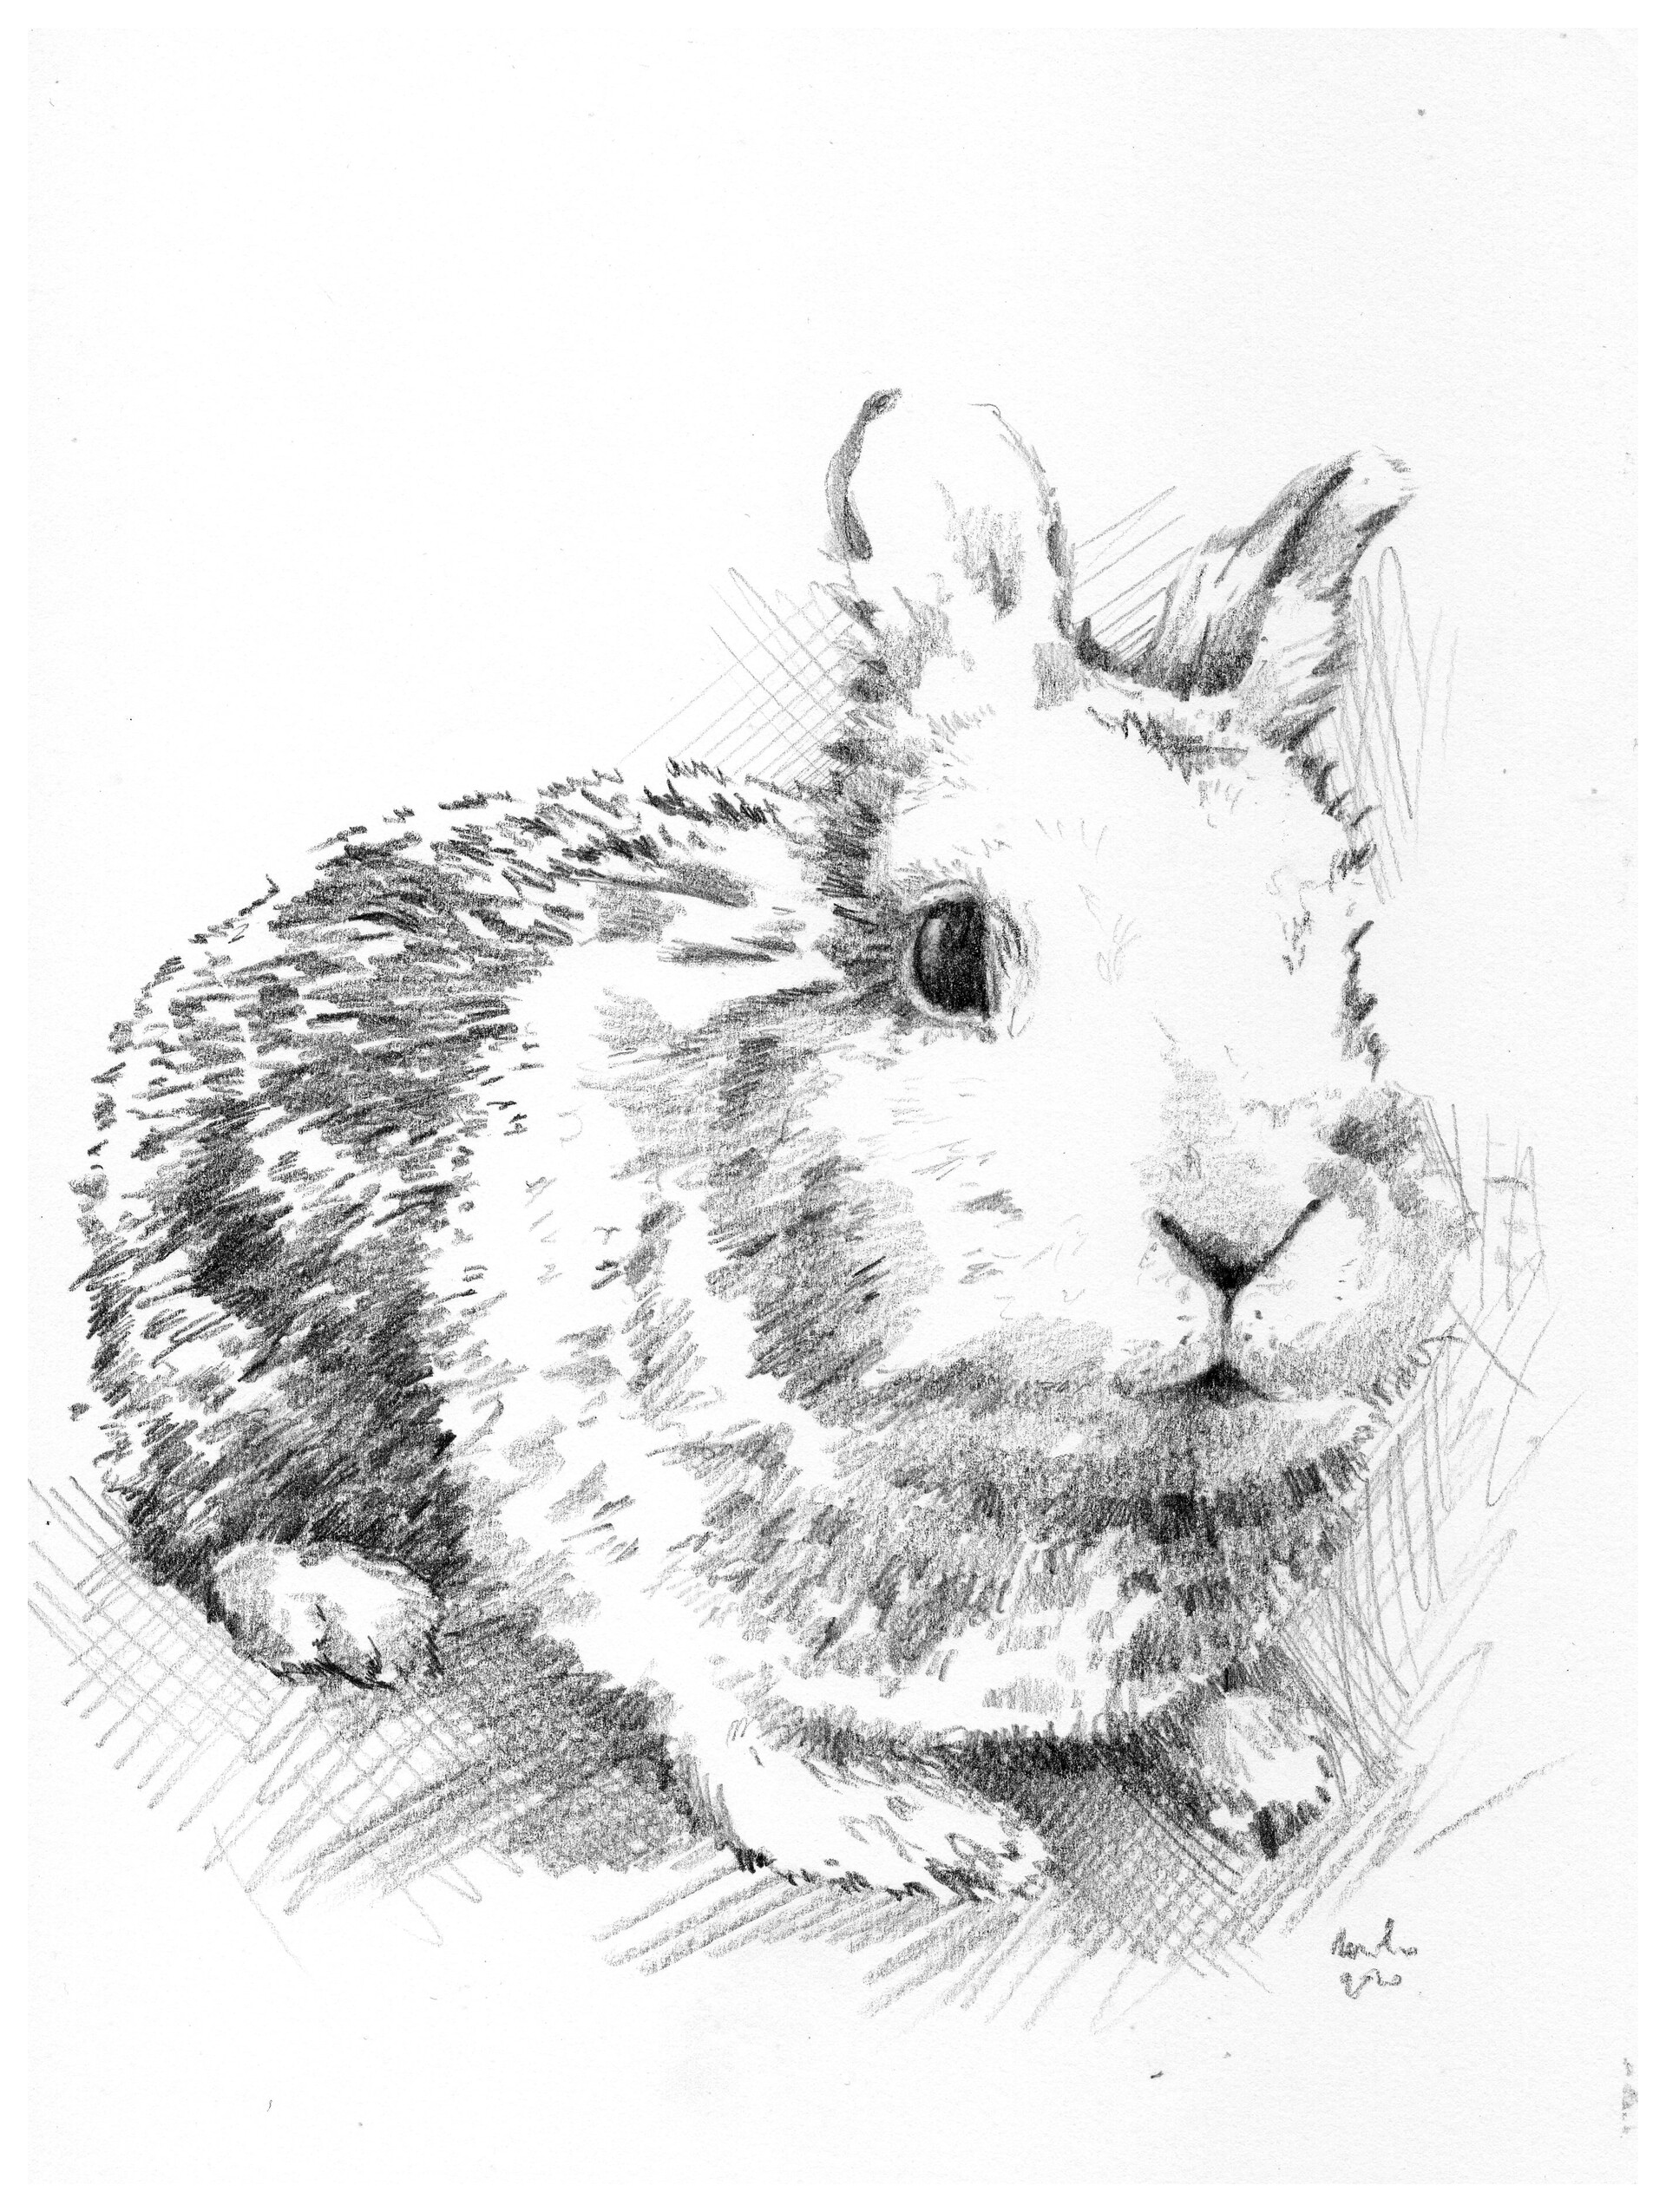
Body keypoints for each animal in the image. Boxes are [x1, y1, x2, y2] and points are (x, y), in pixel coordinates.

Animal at [77, 389, 1469, 1899]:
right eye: (950, 950)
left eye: (1350, 965)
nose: (1242, 1228)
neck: (1048, 1462)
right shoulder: (628, 1542)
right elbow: (741, 1743)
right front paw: (933, 1831)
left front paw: (1273, 1759)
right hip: (232, 1367)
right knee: (193, 1525)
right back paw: (345, 1605)